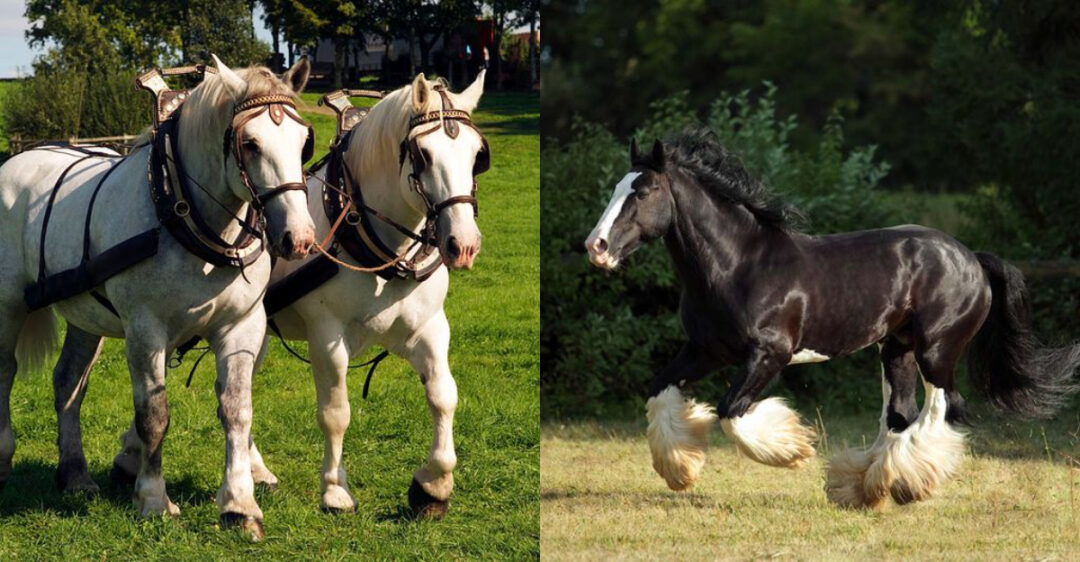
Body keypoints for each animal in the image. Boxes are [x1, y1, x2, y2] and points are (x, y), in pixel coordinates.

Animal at [0, 55, 316, 539]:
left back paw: (74, 475)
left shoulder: (242, 325)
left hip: (86, 318)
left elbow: (237, 410)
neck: (181, 211)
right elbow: (154, 415)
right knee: (6, 371)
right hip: (7, 305)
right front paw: (152, 499)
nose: (298, 239)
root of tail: (18, 157)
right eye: (250, 143)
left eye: (303, 143)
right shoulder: (145, 331)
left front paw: (239, 504)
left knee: (68, 382)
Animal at [86, 71, 489, 519]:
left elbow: (444, 397)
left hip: (252, 330)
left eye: (477, 154)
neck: (375, 245)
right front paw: (335, 491)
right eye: (423, 154)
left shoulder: (430, 329)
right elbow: (336, 412)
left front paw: (433, 486)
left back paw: (244, 470)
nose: (463, 245)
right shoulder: (327, 337)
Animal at [583, 127, 1080, 509]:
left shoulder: (769, 355)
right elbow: (660, 391)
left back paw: (907, 484)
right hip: (895, 349)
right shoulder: (706, 351)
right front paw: (680, 471)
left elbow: (731, 412)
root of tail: (972, 258)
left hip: (937, 351)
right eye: (615, 188)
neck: (738, 264)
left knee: (942, 409)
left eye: (644, 191)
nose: (597, 247)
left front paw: (793, 450)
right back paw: (867, 487)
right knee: (899, 415)